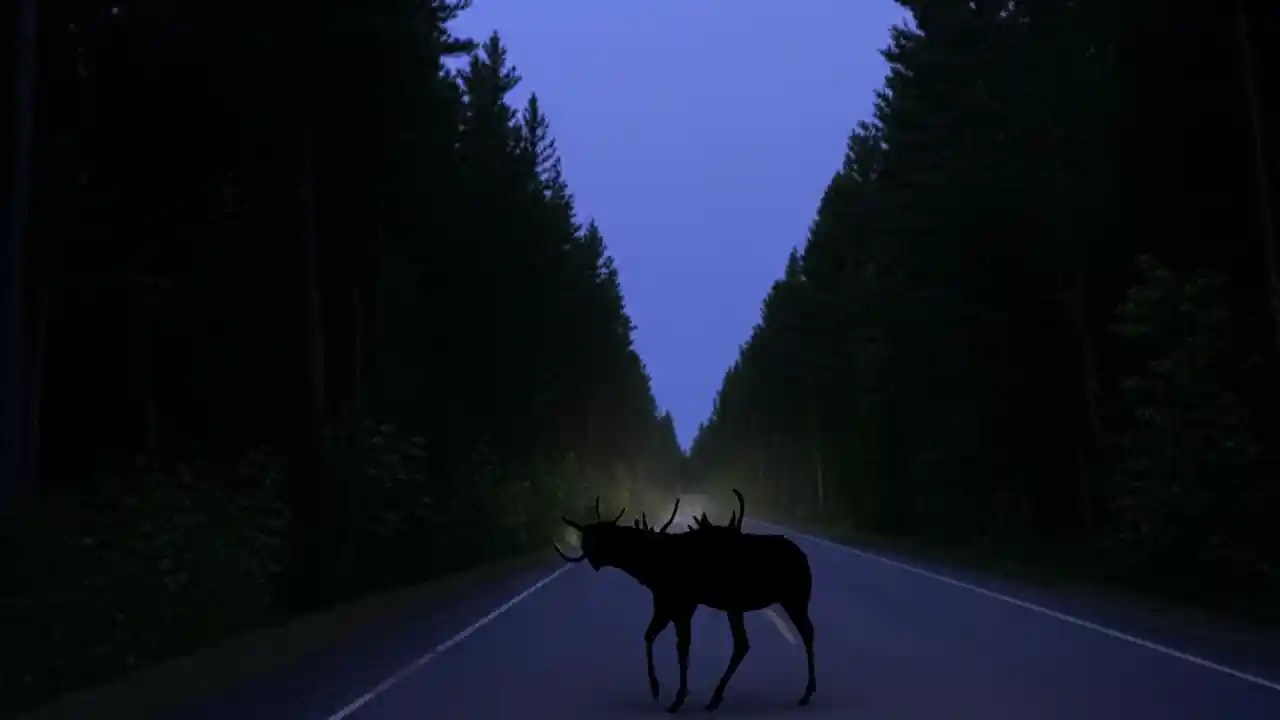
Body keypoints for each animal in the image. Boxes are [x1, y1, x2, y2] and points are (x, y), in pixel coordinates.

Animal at [553, 490, 816, 713]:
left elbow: (676, 645)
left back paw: (807, 692)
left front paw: (669, 693)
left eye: (603, 536)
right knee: (743, 644)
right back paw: (716, 697)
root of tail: (804, 558)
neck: (647, 565)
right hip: (741, 605)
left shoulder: (677, 604)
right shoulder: (672, 604)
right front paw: (668, 691)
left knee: (805, 632)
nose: (590, 556)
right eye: (585, 537)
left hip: (793, 598)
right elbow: (654, 638)